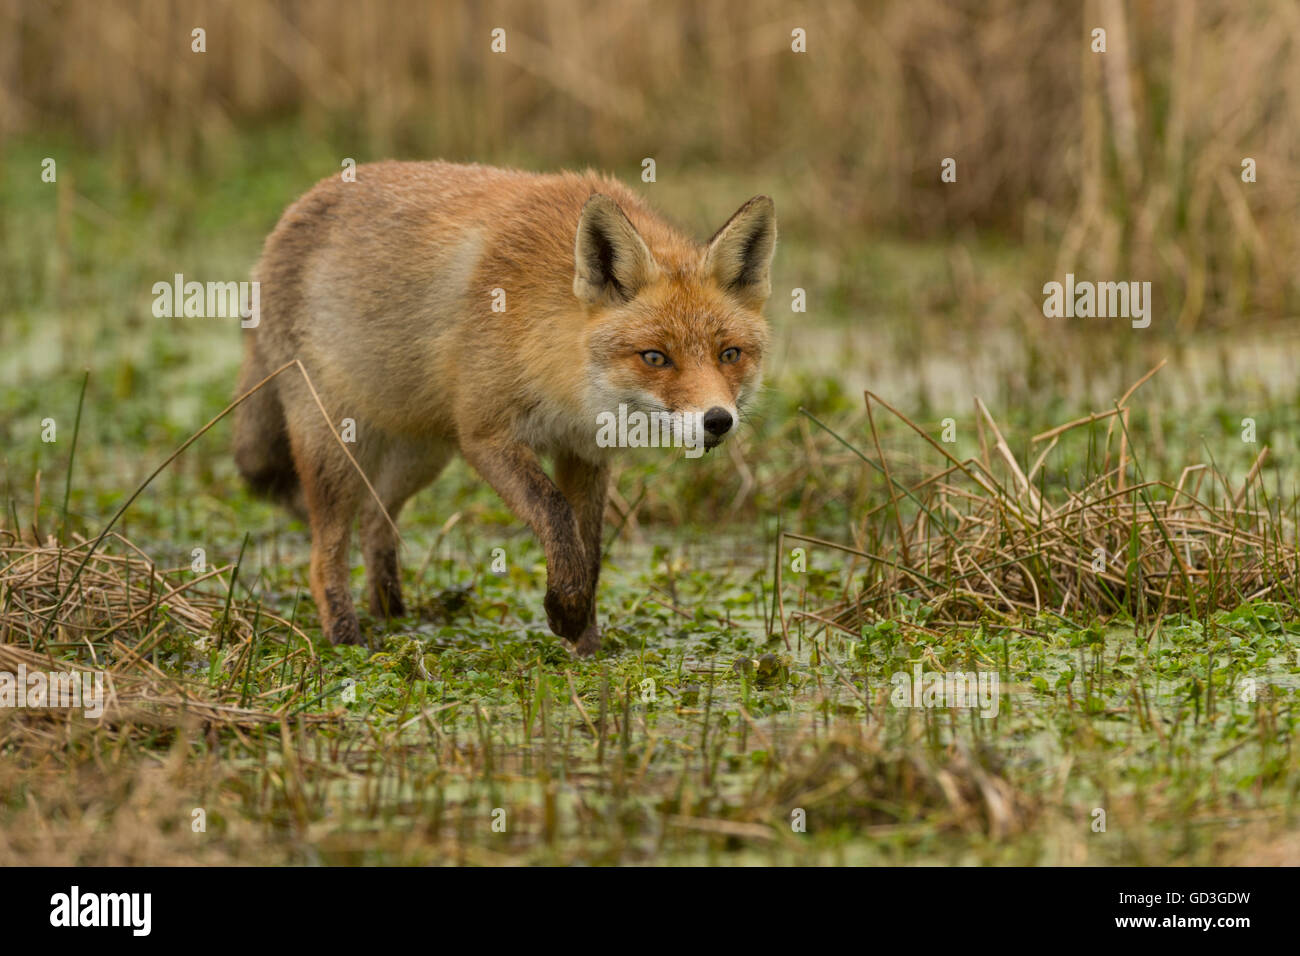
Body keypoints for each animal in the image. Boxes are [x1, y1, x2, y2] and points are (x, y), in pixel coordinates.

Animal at [233, 161, 776, 656]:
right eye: (656, 357)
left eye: (729, 354)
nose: (718, 421)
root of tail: (289, 215)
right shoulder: (486, 436)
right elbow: (554, 513)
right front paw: (565, 612)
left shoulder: (585, 453)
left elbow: (589, 552)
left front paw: (586, 646)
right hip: (338, 449)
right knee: (324, 553)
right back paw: (348, 640)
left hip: (422, 456)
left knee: (374, 521)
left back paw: (395, 617)